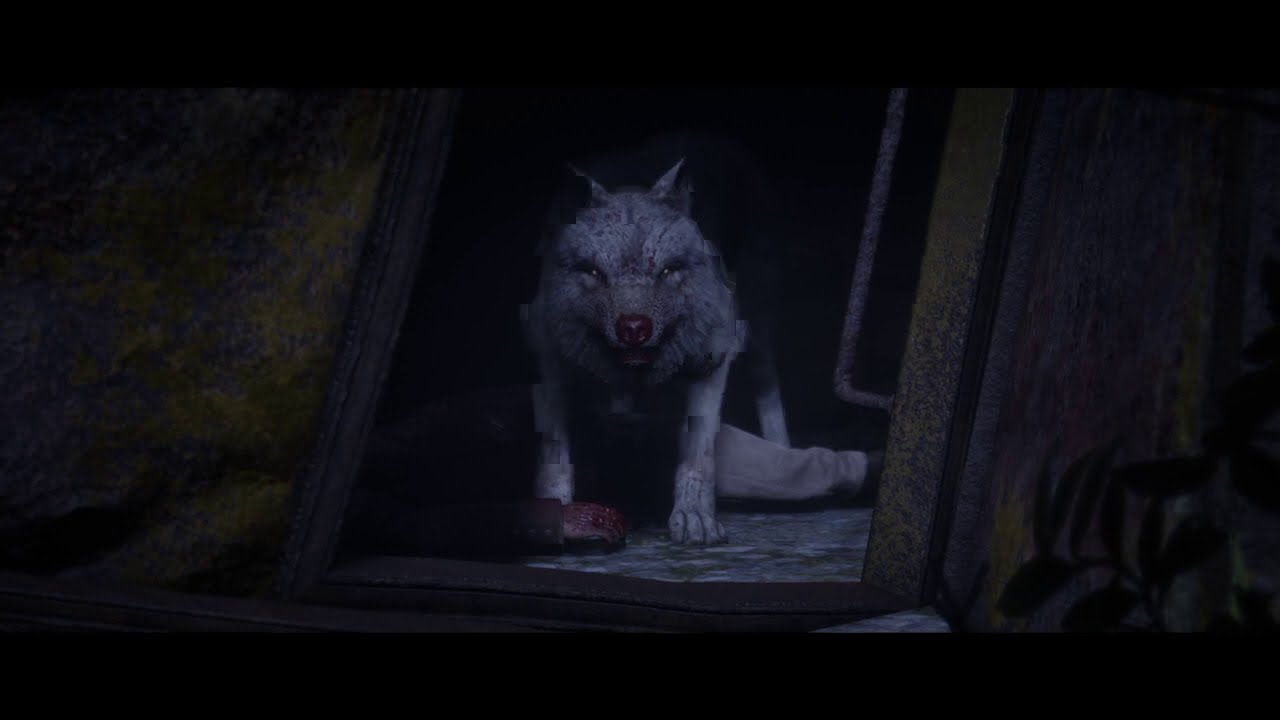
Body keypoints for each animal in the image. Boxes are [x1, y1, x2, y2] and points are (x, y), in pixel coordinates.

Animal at [522, 131, 790, 545]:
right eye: (595, 272)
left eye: (666, 270)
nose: (634, 328)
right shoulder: (552, 364)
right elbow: (554, 452)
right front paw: (559, 517)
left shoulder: (714, 360)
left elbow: (697, 452)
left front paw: (695, 520)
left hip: (757, 327)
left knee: (768, 388)